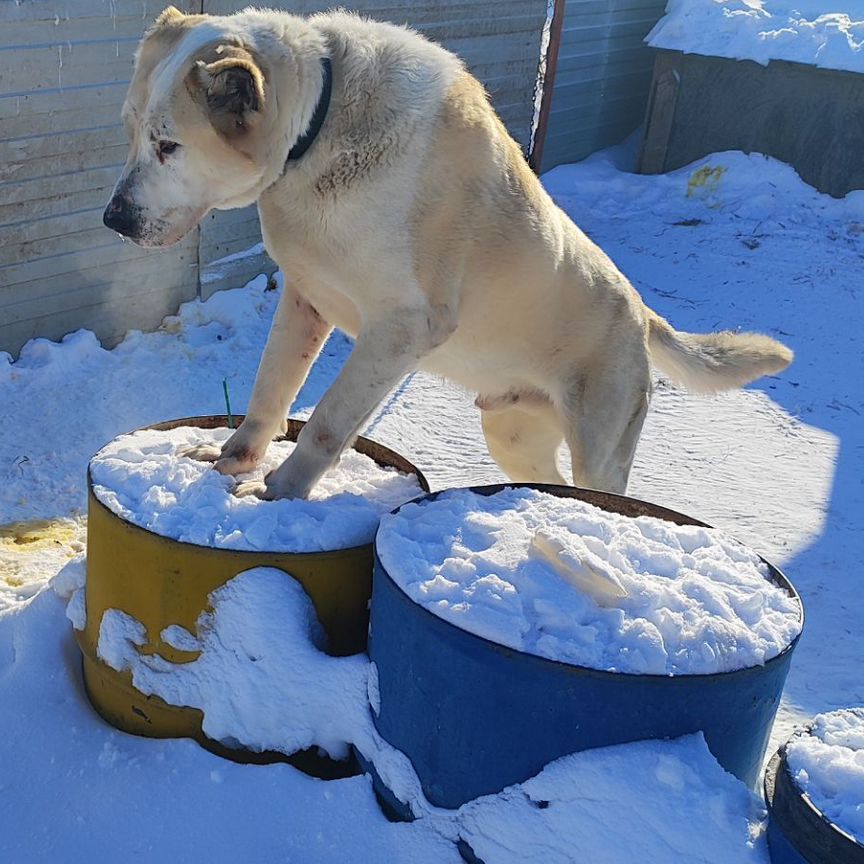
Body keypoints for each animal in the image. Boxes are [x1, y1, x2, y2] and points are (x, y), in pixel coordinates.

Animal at [104, 5, 792, 500]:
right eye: (130, 133)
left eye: (168, 145)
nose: (114, 219)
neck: (319, 131)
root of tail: (641, 312)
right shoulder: (304, 300)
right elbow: (270, 390)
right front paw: (230, 463)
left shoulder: (402, 329)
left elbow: (327, 418)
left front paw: (277, 496)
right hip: (512, 433)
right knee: (549, 482)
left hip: (599, 445)